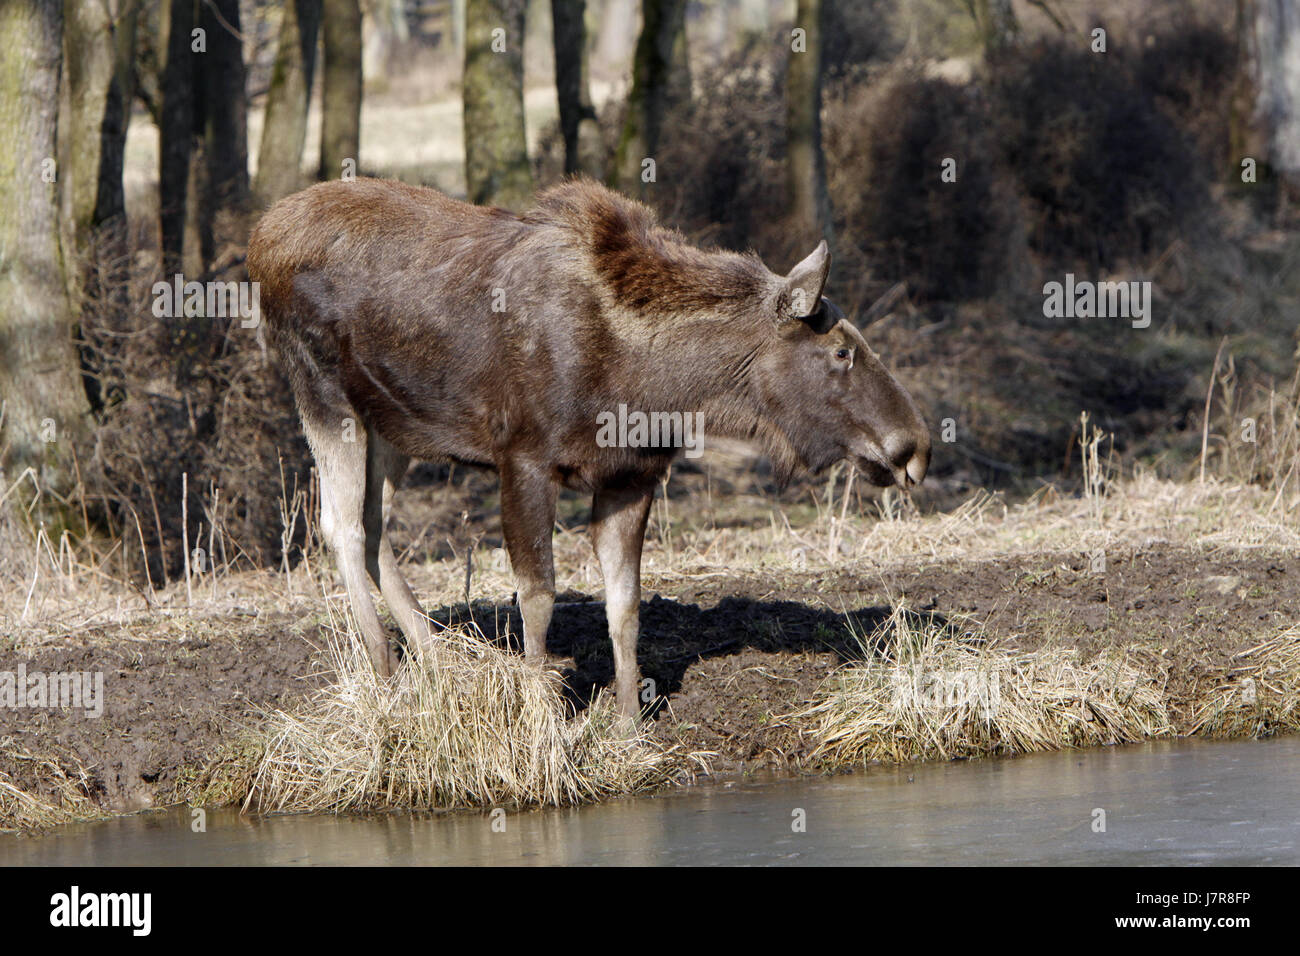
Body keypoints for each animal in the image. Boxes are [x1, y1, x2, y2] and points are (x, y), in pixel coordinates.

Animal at [247, 177, 930, 725]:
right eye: (841, 351)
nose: (915, 446)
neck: (655, 385)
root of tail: (260, 240)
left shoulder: (630, 477)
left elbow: (624, 603)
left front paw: (628, 720)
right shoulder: (523, 460)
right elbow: (539, 595)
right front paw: (541, 713)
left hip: (393, 425)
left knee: (374, 523)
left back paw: (438, 661)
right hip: (325, 397)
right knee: (338, 524)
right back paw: (388, 670)